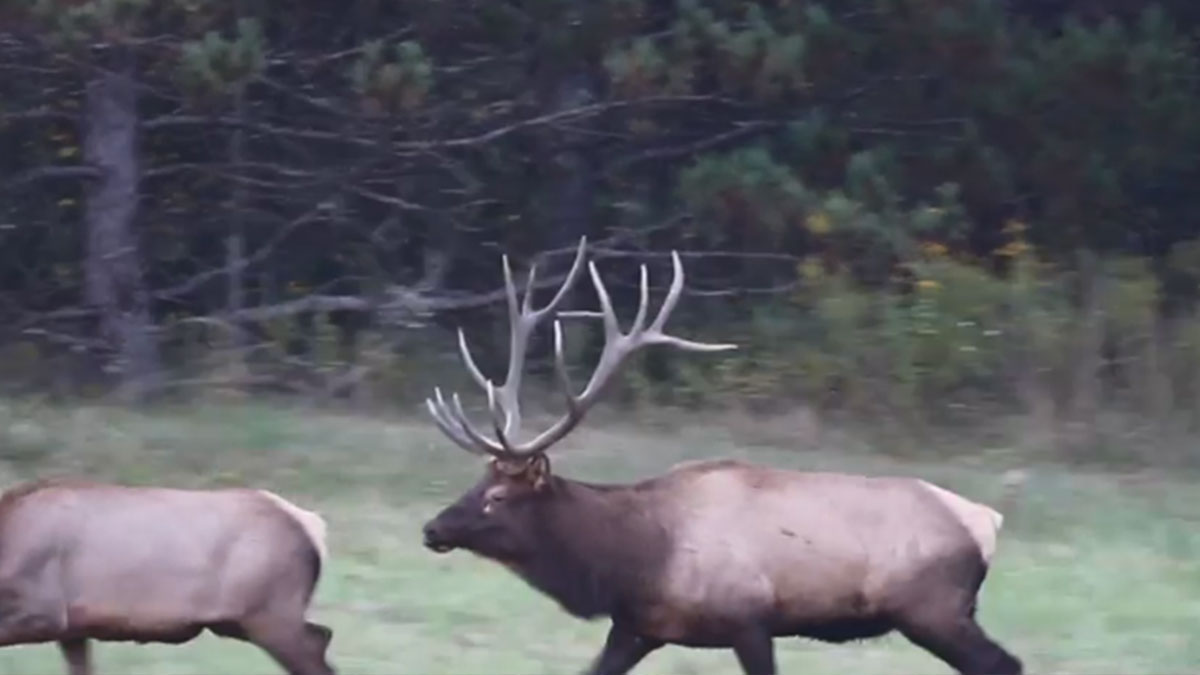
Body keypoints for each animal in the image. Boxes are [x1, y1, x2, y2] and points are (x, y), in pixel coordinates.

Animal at [0, 478, 335, 675]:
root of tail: (311, 526)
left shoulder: (45, 612)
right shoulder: (73, 629)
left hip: (269, 615)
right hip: (238, 621)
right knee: (322, 636)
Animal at [420, 237, 1024, 675]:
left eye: (498, 496)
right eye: (476, 481)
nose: (432, 529)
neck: (634, 561)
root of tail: (986, 520)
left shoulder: (748, 620)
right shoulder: (638, 627)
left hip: (932, 608)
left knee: (1004, 665)